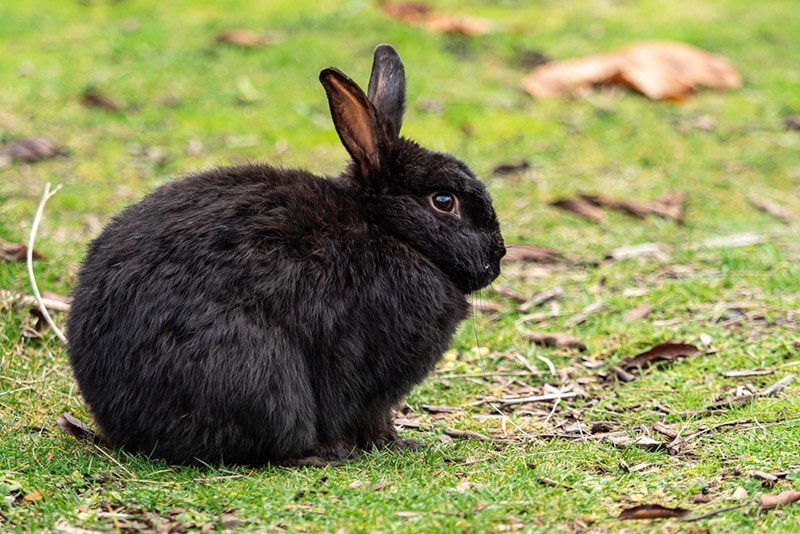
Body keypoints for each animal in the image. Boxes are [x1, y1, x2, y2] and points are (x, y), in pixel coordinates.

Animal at [66, 44, 505, 466]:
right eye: (444, 201)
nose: (498, 256)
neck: (389, 228)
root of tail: (122, 421)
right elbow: (368, 415)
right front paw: (396, 444)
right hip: (258, 375)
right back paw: (324, 455)